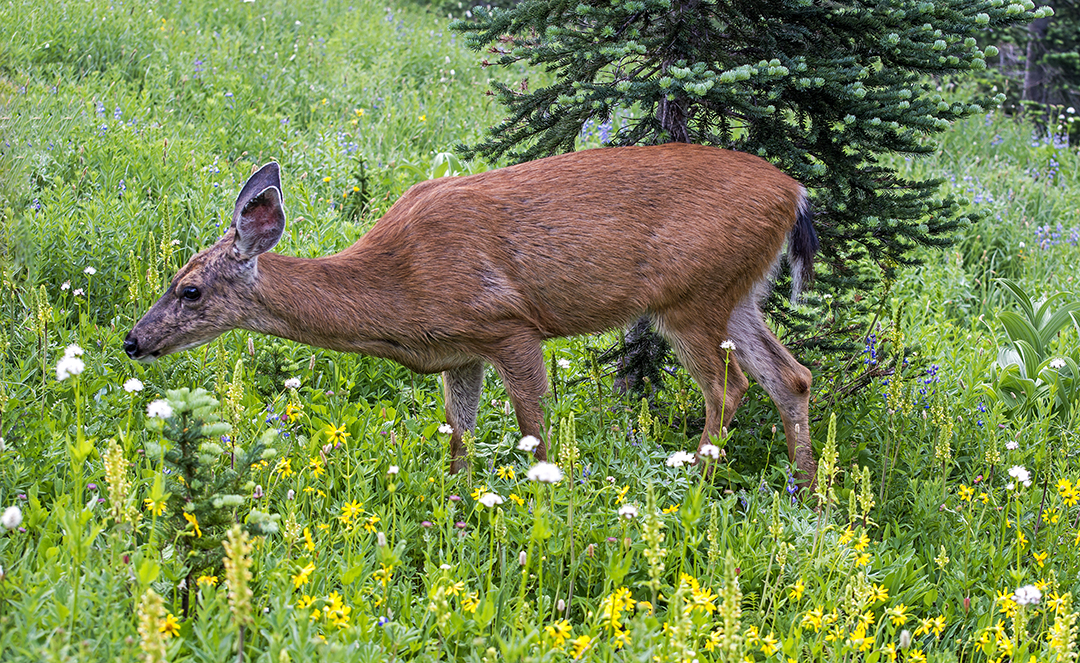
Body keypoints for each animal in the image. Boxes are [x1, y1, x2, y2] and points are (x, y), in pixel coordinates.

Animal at [125, 143, 819, 486]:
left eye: (189, 290)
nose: (133, 340)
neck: (399, 290)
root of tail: (796, 193)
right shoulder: (459, 353)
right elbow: (458, 439)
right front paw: (457, 512)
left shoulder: (510, 325)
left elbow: (533, 430)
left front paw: (538, 504)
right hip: (738, 293)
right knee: (791, 376)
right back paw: (809, 496)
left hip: (692, 296)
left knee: (729, 388)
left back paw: (690, 490)